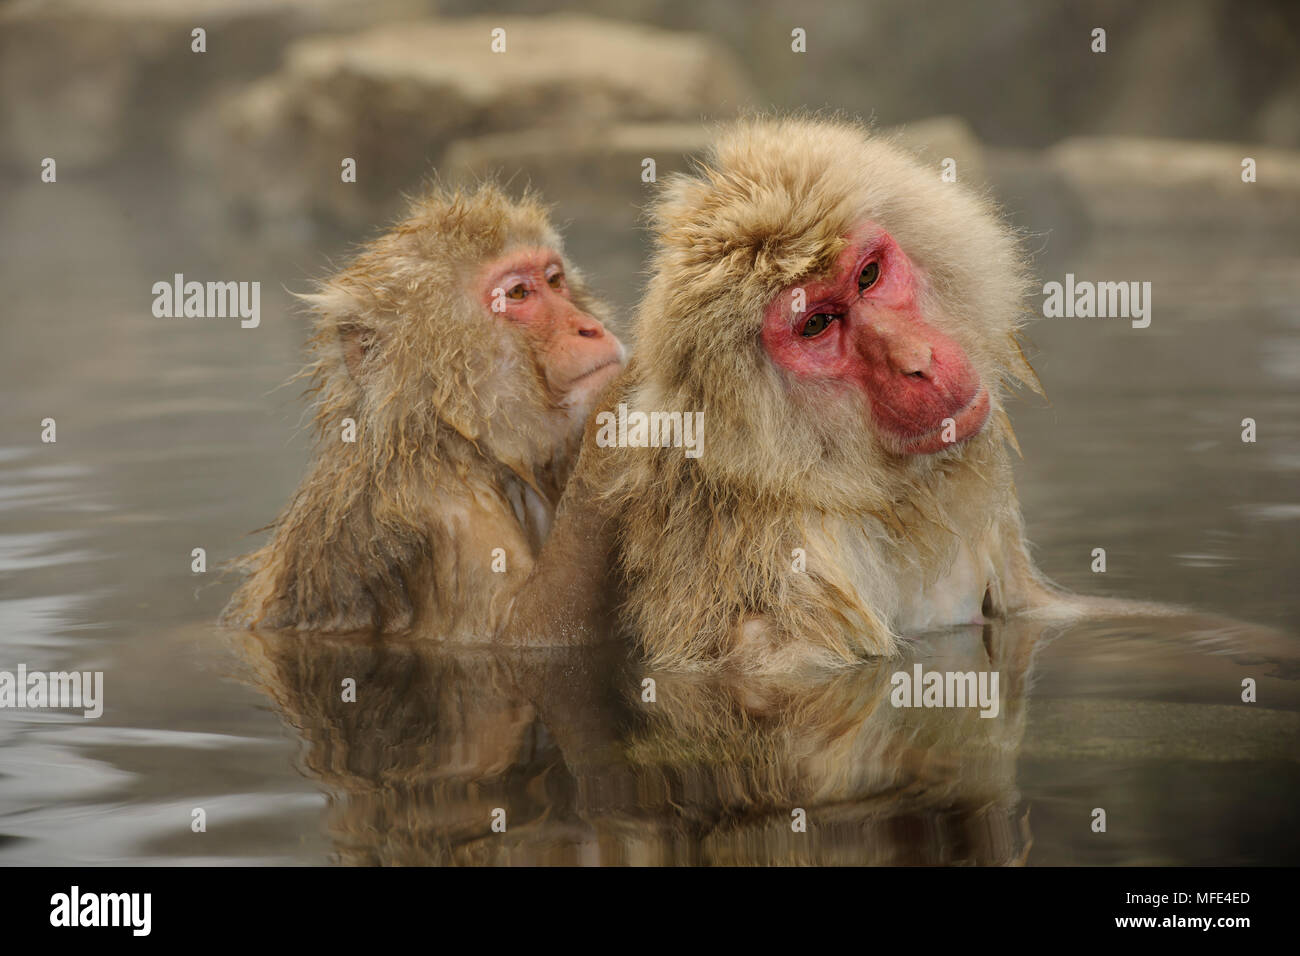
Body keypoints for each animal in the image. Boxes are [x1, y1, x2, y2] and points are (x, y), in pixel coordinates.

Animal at [222, 184, 625, 637]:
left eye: (555, 281)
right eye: (519, 293)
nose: (589, 328)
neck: (448, 435)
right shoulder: (437, 507)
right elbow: (519, 630)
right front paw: (614, 421)